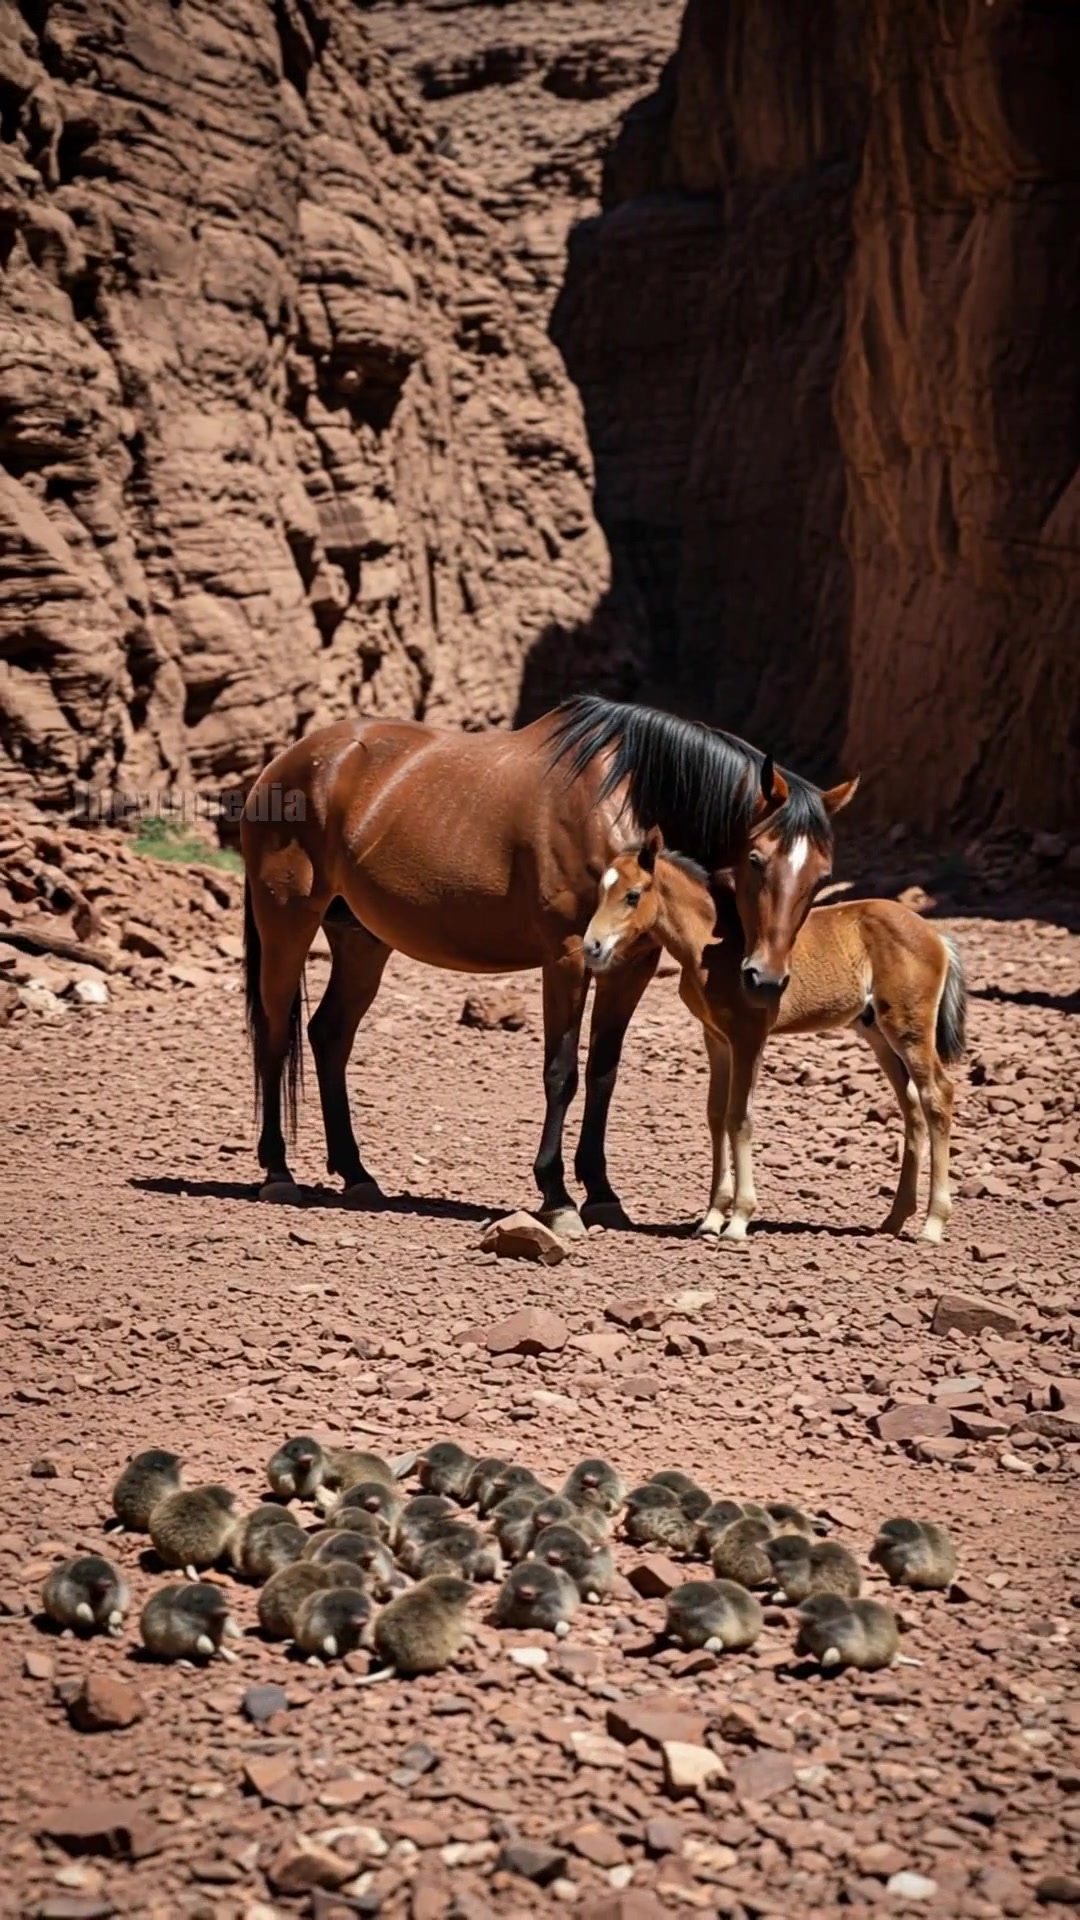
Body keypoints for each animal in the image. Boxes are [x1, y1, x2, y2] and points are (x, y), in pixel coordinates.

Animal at [240, 696, 857, 1232]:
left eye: (822, 875)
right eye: (755, 858)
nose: (766, 978)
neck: (626, 799)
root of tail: (287, 764)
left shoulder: (631, 965)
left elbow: (603, 1071)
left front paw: (603, 1193)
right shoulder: (567, 956)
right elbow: (561, 1071)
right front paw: (557, 1196)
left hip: (361, 941)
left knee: (330, 1035)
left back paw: (357, 1174)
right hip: (287, 921)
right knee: (274, 1033)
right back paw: (278, 1170)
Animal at [582, 834, 966, 1242]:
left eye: (633, 895)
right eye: (601, 891)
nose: (593, 947)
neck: (711, 946)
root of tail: (936, 934)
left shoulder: (748, 1037)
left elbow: (739, 1117)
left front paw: (738, 1220)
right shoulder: (716, 1038)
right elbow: (716, 1114)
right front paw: (712, 1218)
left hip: (909, 1028)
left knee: (937, 1094)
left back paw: (932, 1224)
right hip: (878, 1033)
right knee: (911, 1106)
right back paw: (895, 1218)